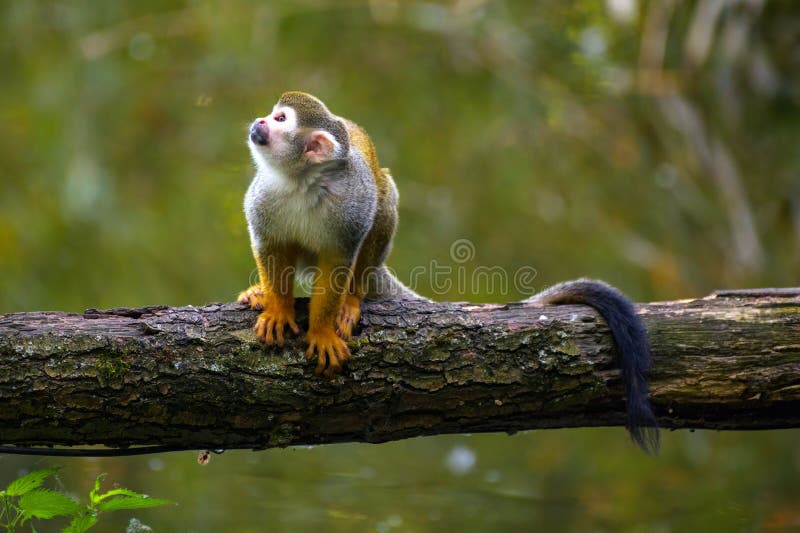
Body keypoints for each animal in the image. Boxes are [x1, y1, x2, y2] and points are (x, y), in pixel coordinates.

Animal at [237, 91, 658, 453]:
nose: (258, 121)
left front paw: (323, 327)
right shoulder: (265, 194)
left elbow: (341, 258)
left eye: (280, 119)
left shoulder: (352, 201)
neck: (302, 180)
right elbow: (268, 244)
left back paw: (352, 300)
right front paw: (278, 308)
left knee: (384, 195)